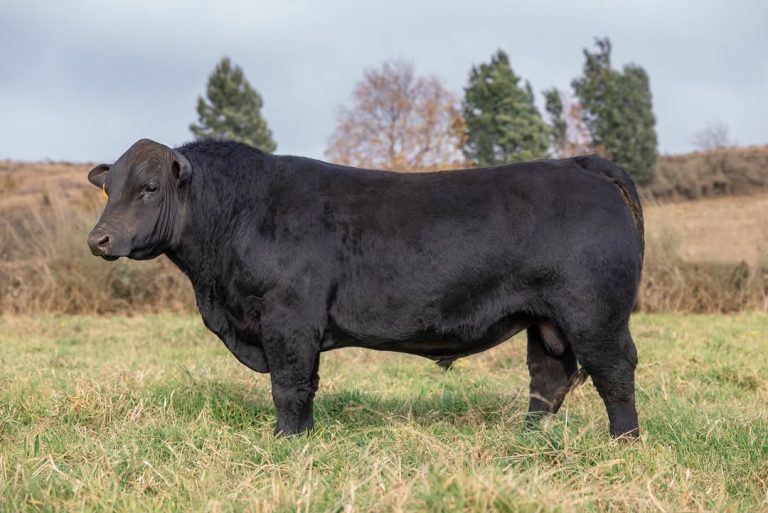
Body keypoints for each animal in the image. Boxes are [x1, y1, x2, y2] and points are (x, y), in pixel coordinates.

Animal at [87, 138, 643, 439]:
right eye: (108, 188)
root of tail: (578, 162)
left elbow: (290, 385)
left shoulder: (289, 317)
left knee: (614, 374)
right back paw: (527, 439)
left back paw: (624, 442)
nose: (99, 239)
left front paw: (287, 441)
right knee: (547, 378)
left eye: (149, 187)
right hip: (546, 320)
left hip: (594, 313)